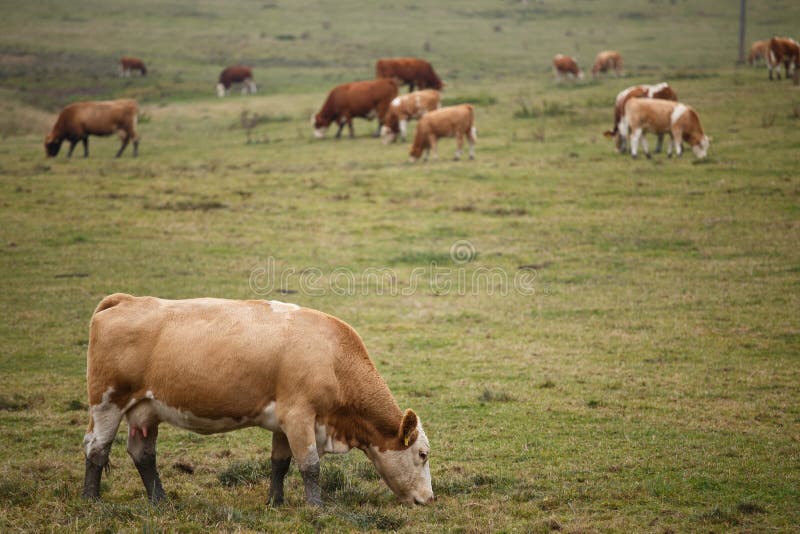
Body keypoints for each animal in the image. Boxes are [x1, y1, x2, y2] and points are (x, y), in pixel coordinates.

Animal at [81, 294, 434, 507]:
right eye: (423, 454)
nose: (428, 499)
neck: (334, 357)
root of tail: (126, 301)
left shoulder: (284, 422)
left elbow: (280, 463)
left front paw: (275, 502)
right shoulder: (300, 416)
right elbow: (310, 466)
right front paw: (317, 507)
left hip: (145, 410)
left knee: (143, 454)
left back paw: (161, 501)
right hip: (107, 403)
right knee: (96, 448)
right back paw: (91, 499)